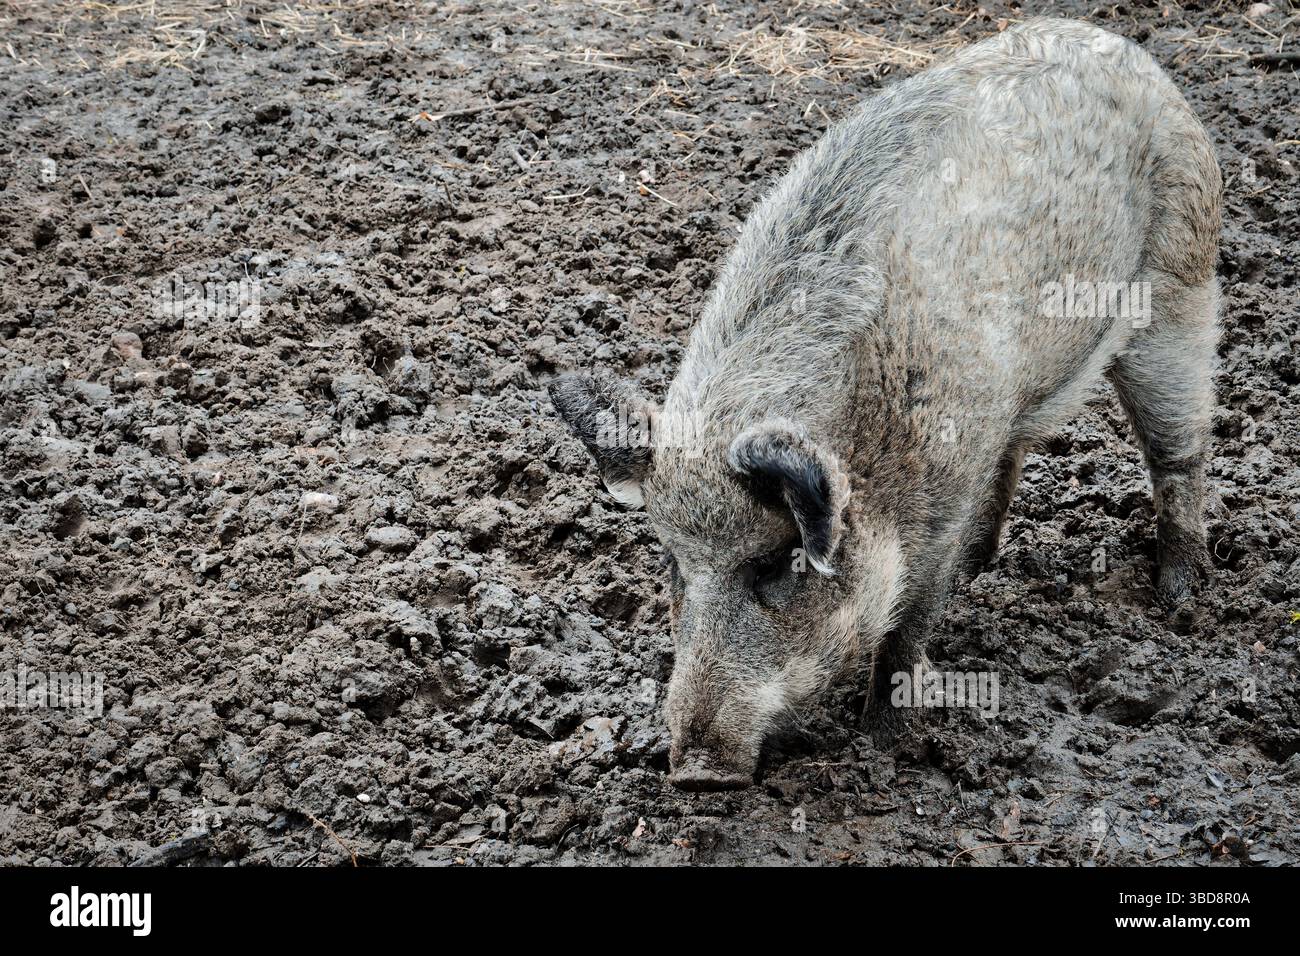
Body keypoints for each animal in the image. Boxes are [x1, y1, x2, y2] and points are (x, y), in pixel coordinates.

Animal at [549, 19, 1221, 790]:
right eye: (671, 563)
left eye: (775, 563)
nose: (695, 772)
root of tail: (1121, 47)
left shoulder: (935, 507)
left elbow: (906, 629)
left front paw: (882, 746)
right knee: (1016, 452)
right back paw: (982, 568)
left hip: (1179, 285)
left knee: (1179, 451)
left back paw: (1178, 597)